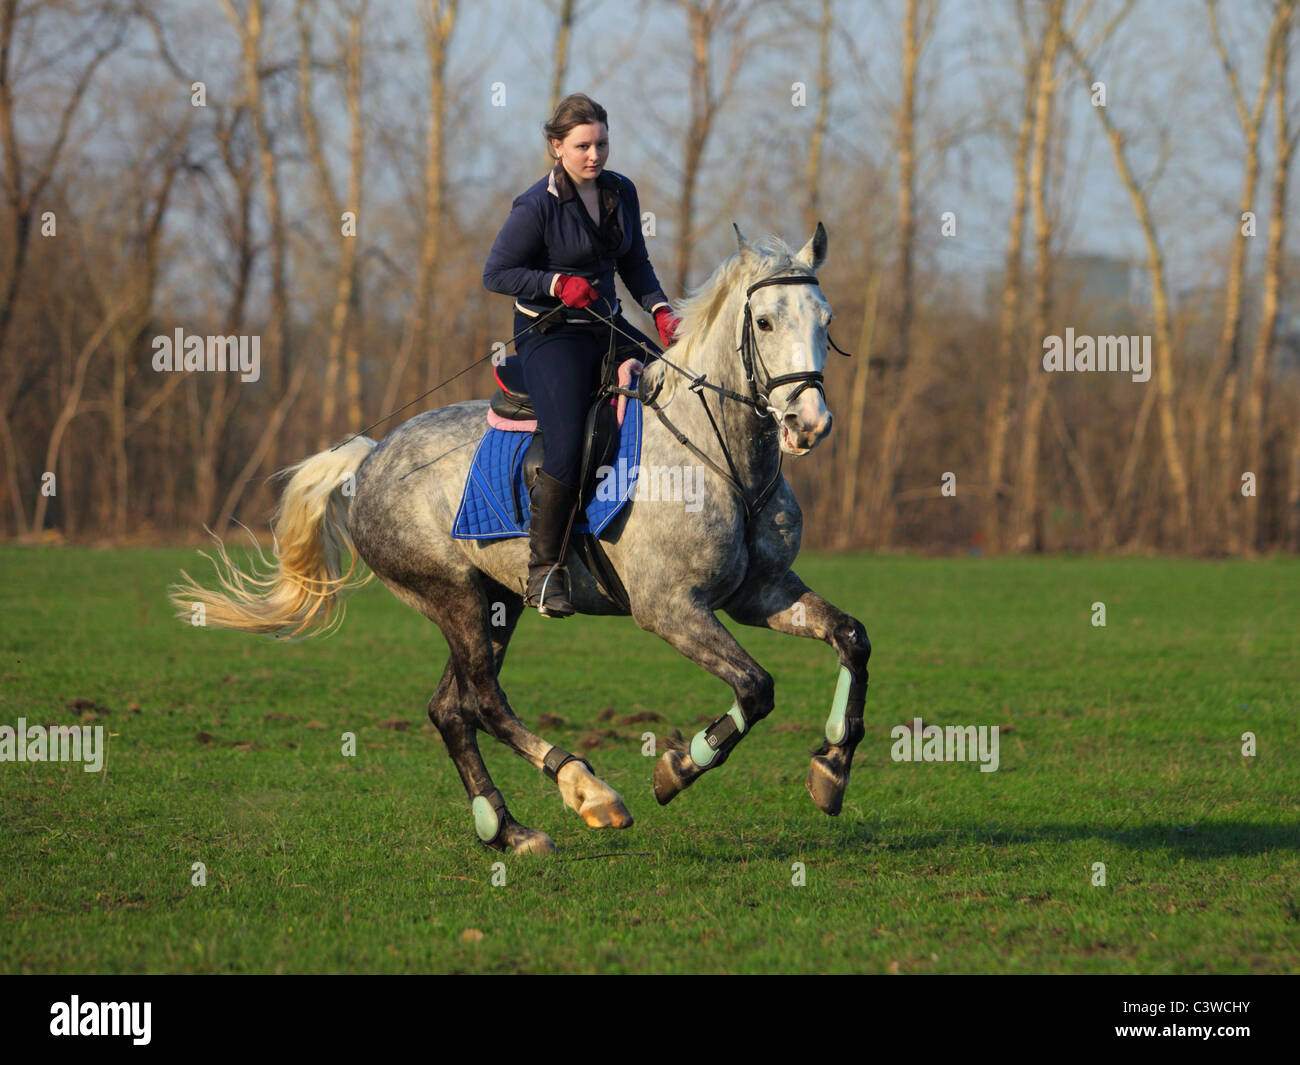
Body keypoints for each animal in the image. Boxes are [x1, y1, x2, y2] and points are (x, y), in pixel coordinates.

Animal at [170, 222, 871, 855]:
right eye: (765, 323)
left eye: (826, 318)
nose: (809, 423)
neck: (722, 459)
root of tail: (369, 457)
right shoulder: (670, 608)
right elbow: (755, 686)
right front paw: (677, 769)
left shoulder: (761, 592)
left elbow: (851, 638)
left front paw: (831, 769)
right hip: (453, 595)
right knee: (483, 701)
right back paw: (588, 792)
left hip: (496, 600)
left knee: (450, 709)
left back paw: (507, 830)